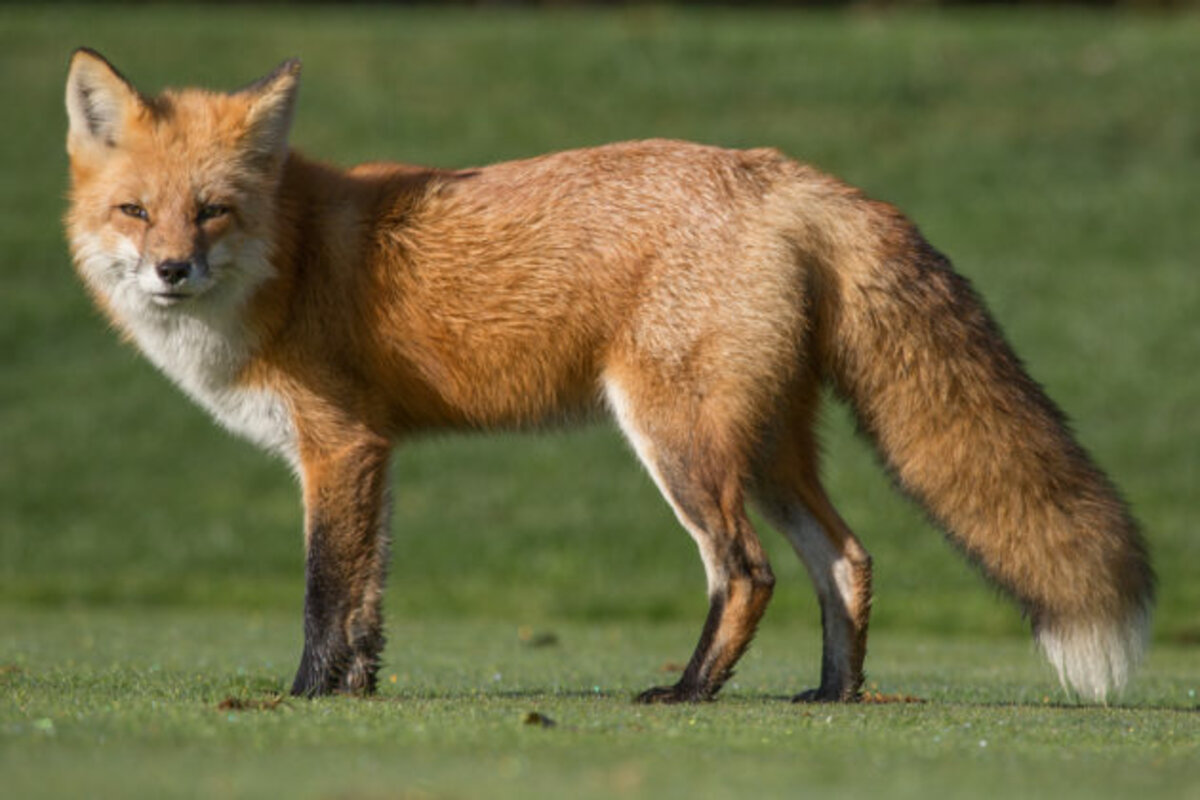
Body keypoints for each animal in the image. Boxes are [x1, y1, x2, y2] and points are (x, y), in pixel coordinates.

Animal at [64, 49, 1153, 704]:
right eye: (135, 212)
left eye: (213, 211)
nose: (172, 271)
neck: (288, 264)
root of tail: (783, 172)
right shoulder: (374, 458)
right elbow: (368, 601)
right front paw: (358, 691)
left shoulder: (340, 447)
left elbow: (324, 593)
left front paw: (303, 696)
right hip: (768, 445)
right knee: (846, 558)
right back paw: (831, 694)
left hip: (679, 437)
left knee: (747, 570)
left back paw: (689, 692)